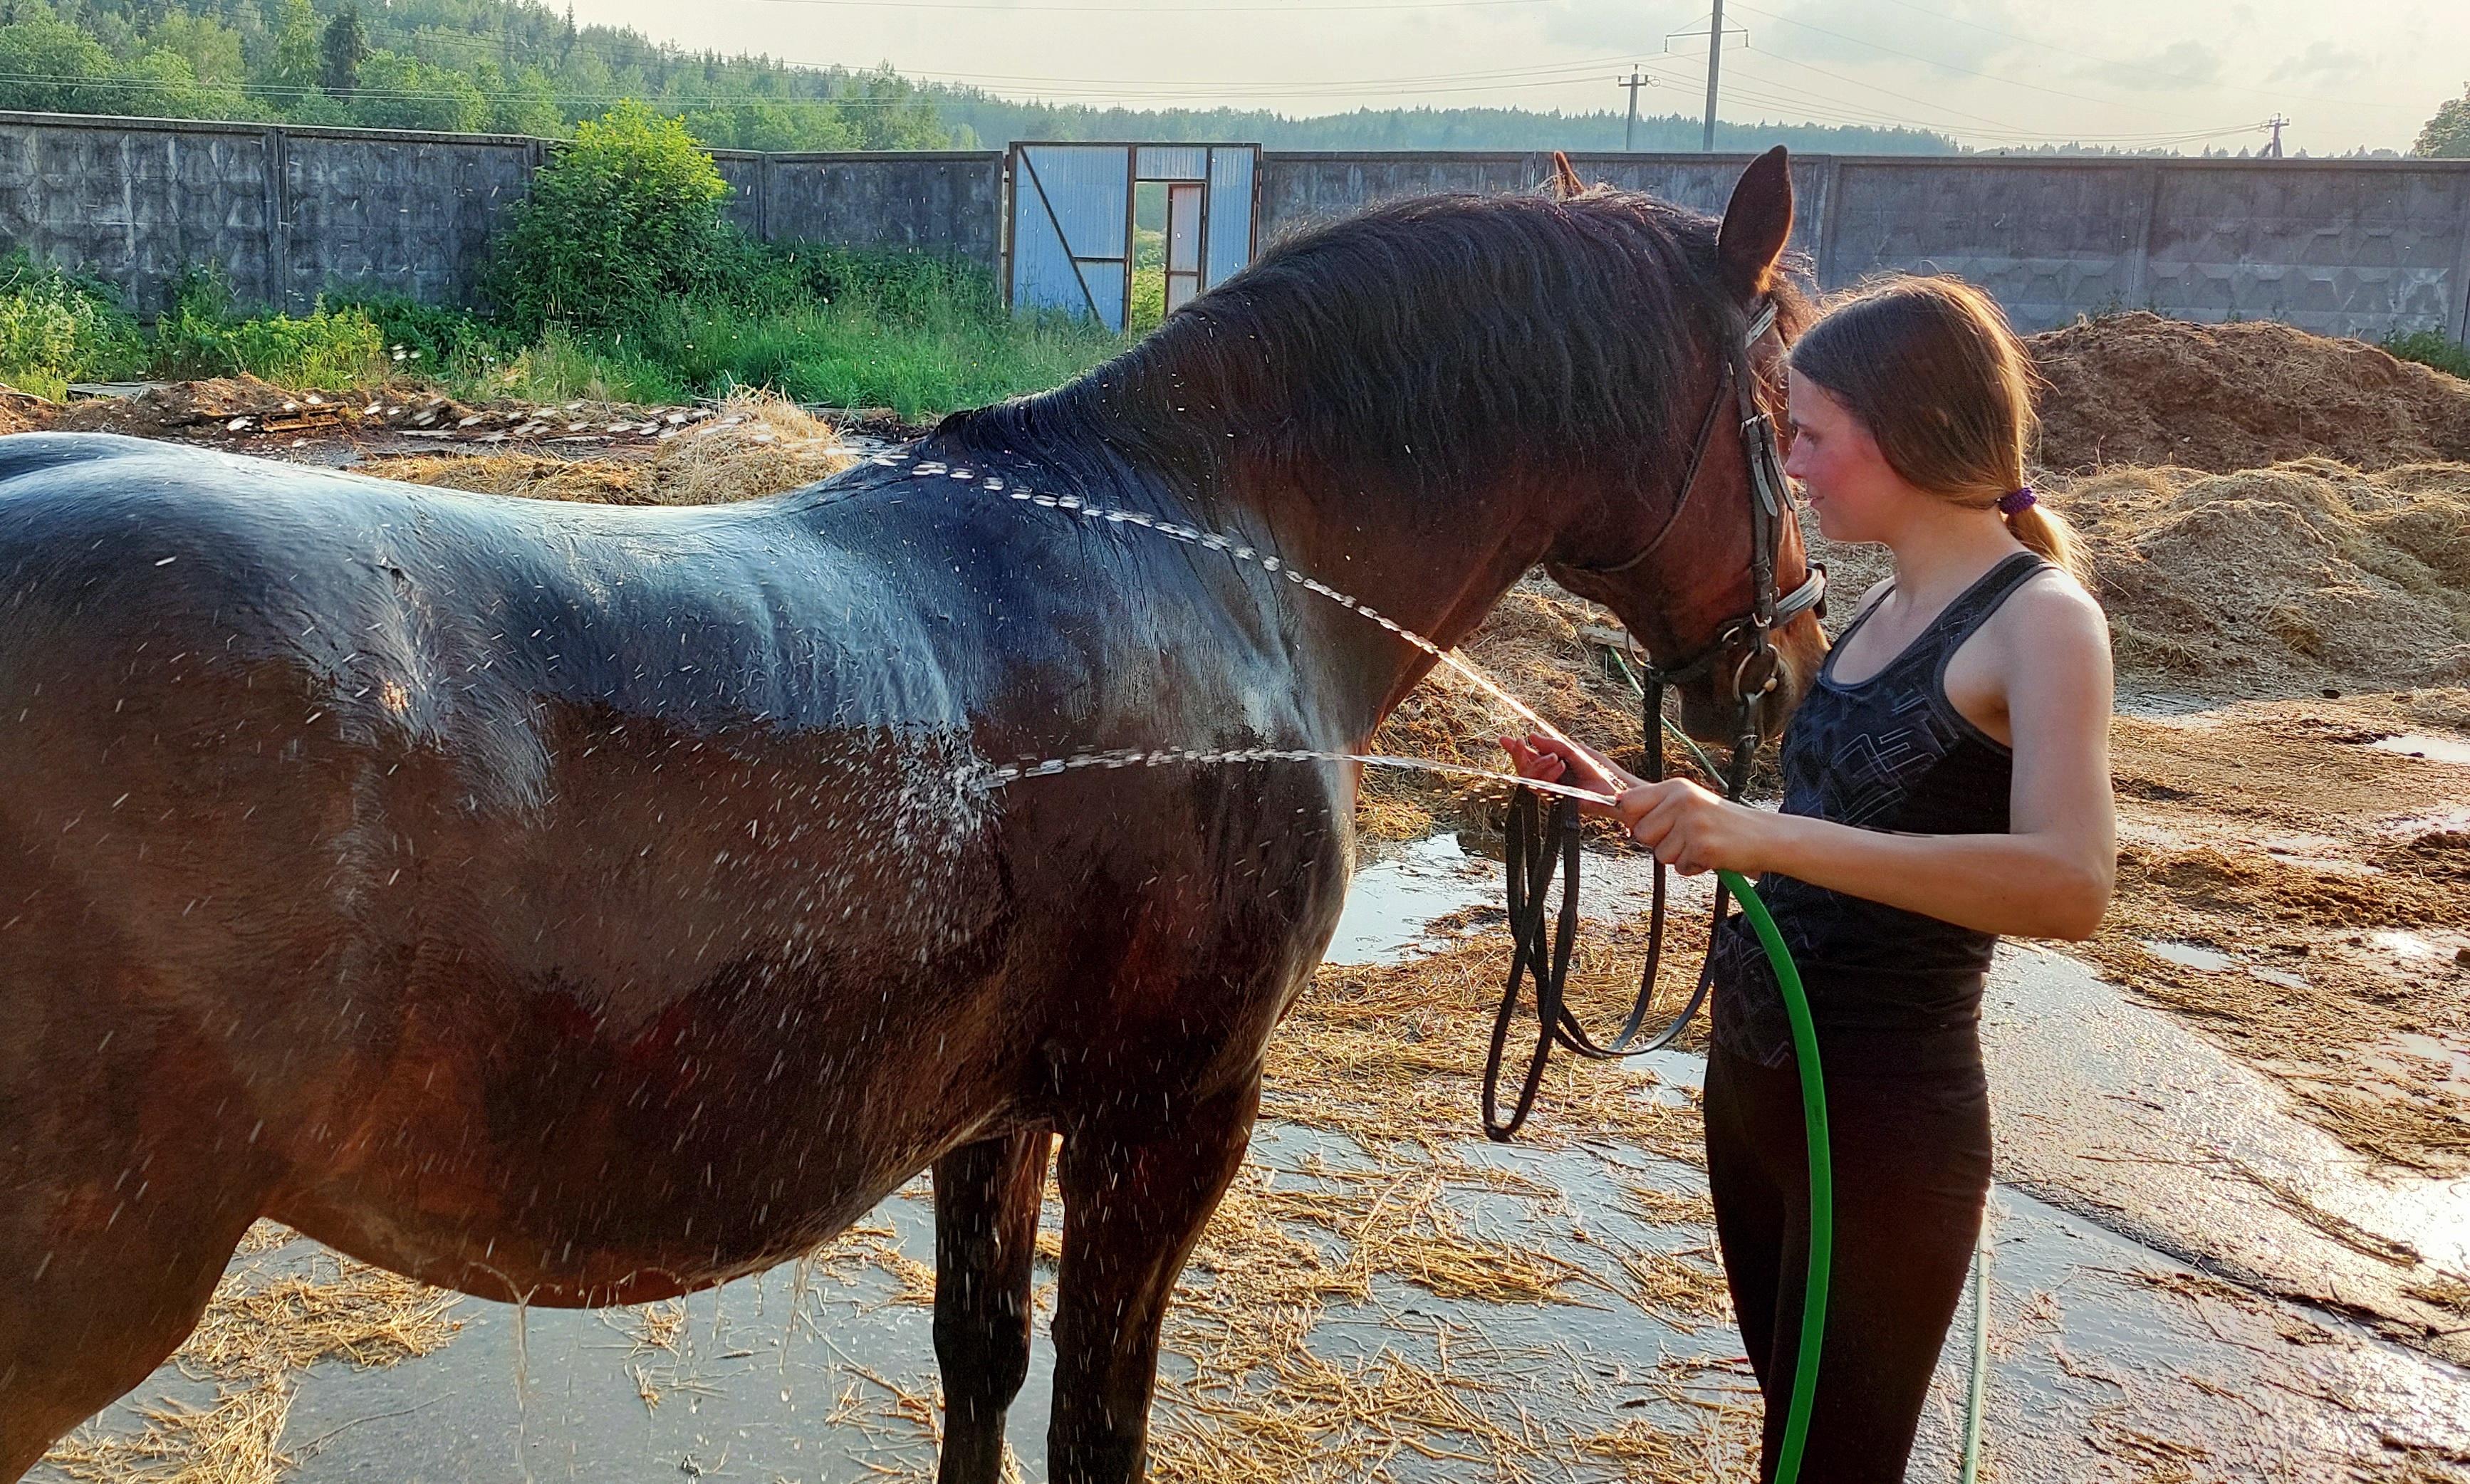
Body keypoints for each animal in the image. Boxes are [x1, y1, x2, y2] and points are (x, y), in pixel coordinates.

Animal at [0, 146, 1823, 1483]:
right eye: (1785, 416)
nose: (1790, 659)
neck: (1214, 553)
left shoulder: (999, 1112)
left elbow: (981, 1366)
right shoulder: (1172, 1114)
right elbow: (1095, 1420)